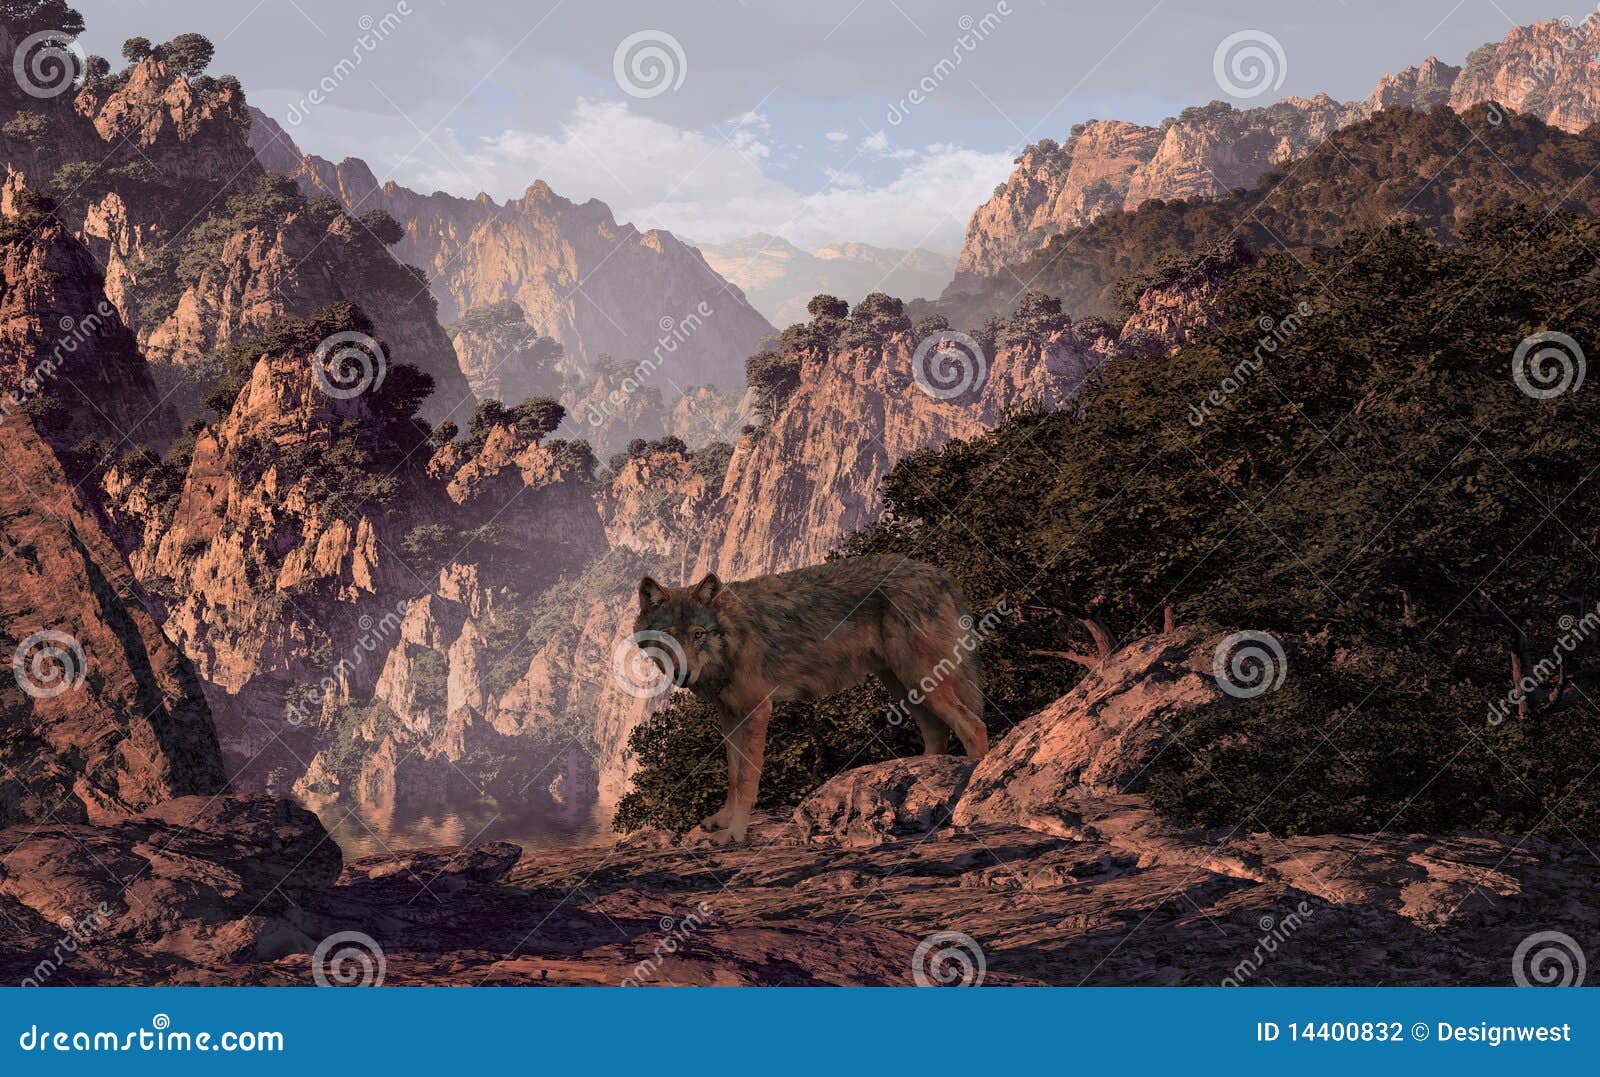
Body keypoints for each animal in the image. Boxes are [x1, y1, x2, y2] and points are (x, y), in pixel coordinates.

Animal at [632, 555, 988, 843]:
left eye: (698, 635)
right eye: (668, 638)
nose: (683, 674)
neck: (733, 638)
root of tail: (940, 574)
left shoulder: (756, 710)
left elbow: (747, 779)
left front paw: (734, 833)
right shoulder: (729, 715)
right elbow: (733, 774)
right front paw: (723, 820)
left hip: (921, 681)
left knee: (973, 726)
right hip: (906, 686)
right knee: (937, 731)